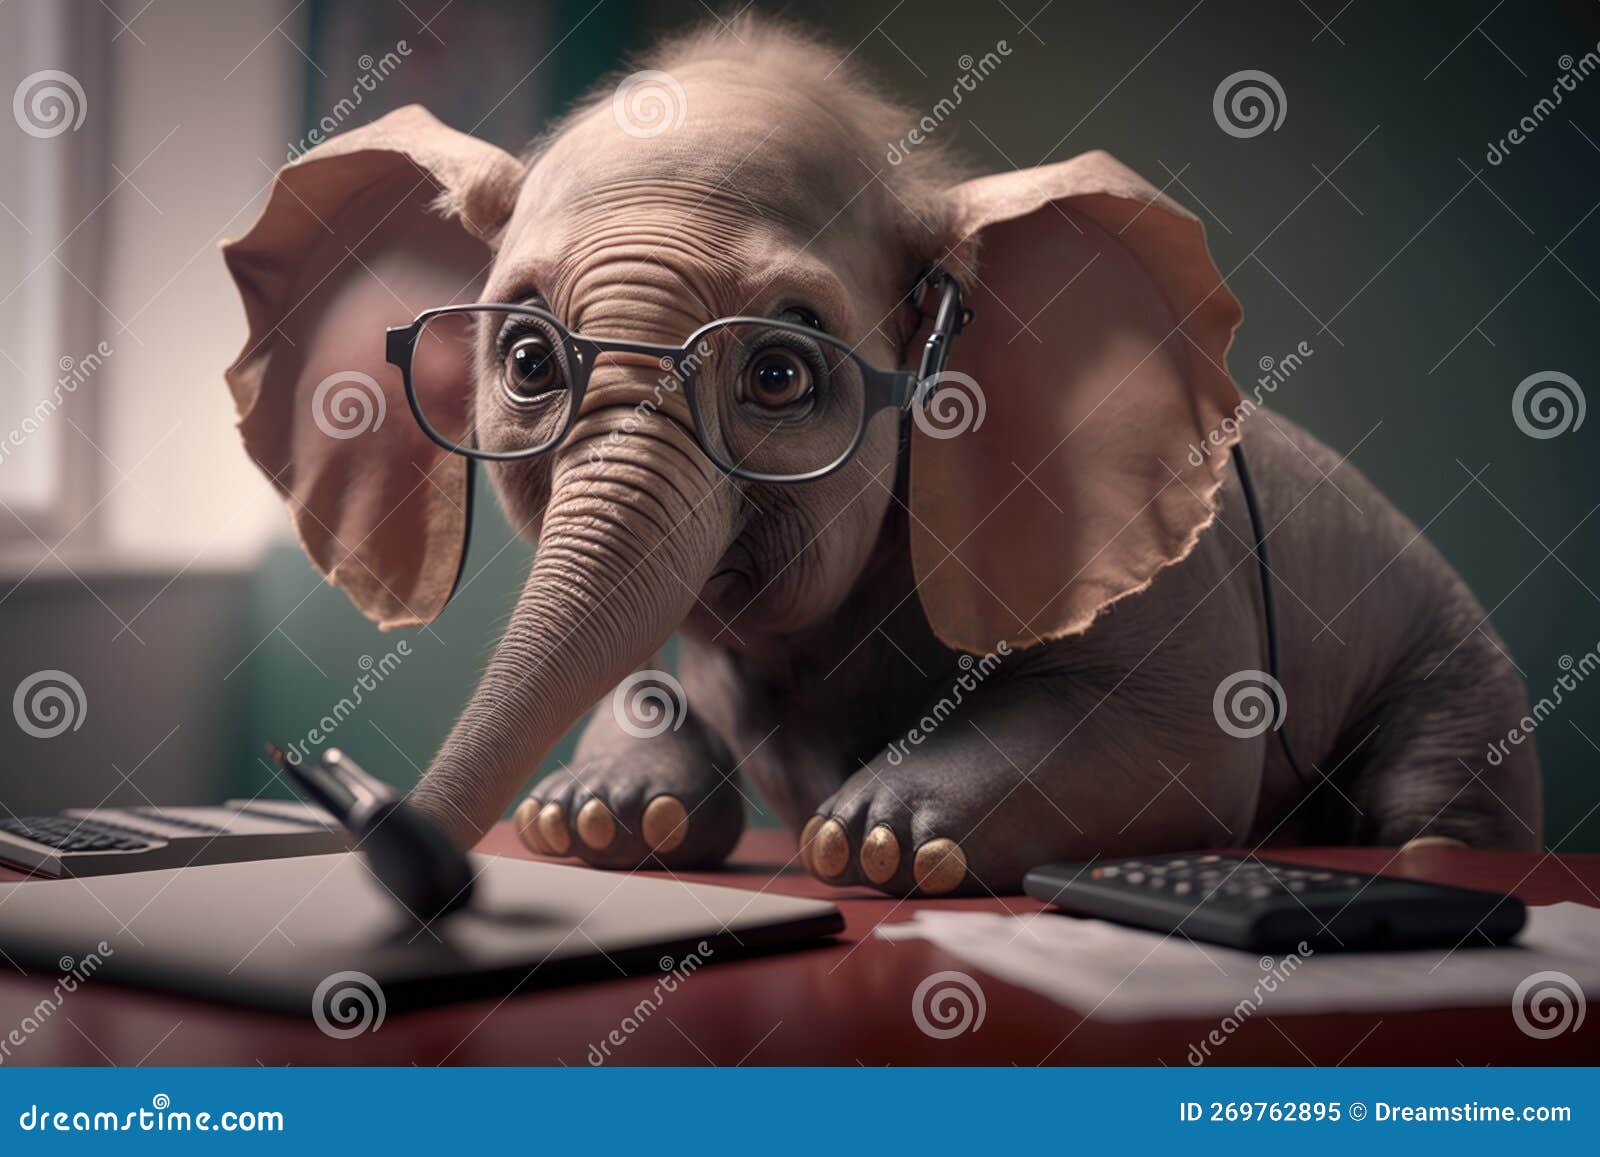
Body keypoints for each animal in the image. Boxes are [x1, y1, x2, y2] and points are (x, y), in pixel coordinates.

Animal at [221, 18, 1540, 898]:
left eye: (779, 376)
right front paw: (597, 823)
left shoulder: (1153, 550)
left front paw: (878, 844)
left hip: (1450, 650)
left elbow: (1184, 743)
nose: (408, 858)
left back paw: (1434, 851)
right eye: (531, 360)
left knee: (1432, 780)